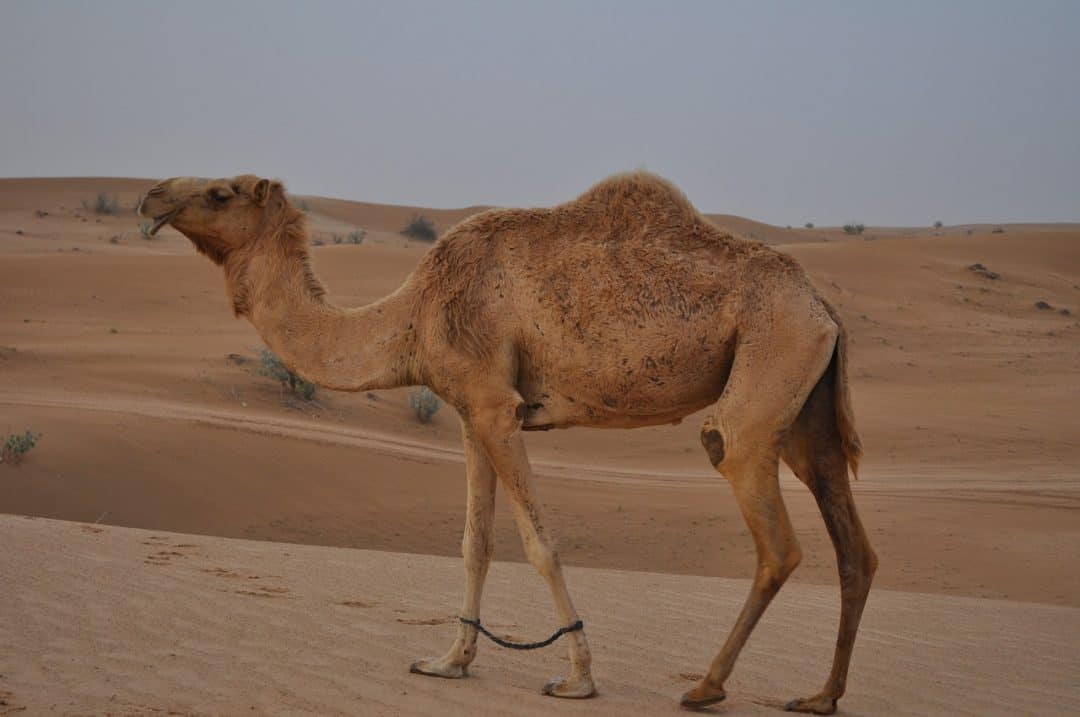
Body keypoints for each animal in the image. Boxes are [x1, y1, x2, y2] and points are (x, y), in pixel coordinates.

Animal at [137, 172, 877, 714]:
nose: (149, 196)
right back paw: (821, 695)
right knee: (855, 548)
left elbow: (538, 543)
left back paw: (706, 685)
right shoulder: (470, 409)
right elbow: (475, 543)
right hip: (806, 408)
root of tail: (823, 307)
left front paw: (576, 676)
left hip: (764, 378)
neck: (412, 313)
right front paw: (449, 661)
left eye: (220, 192)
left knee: (770, 528)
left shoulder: (497, 406)